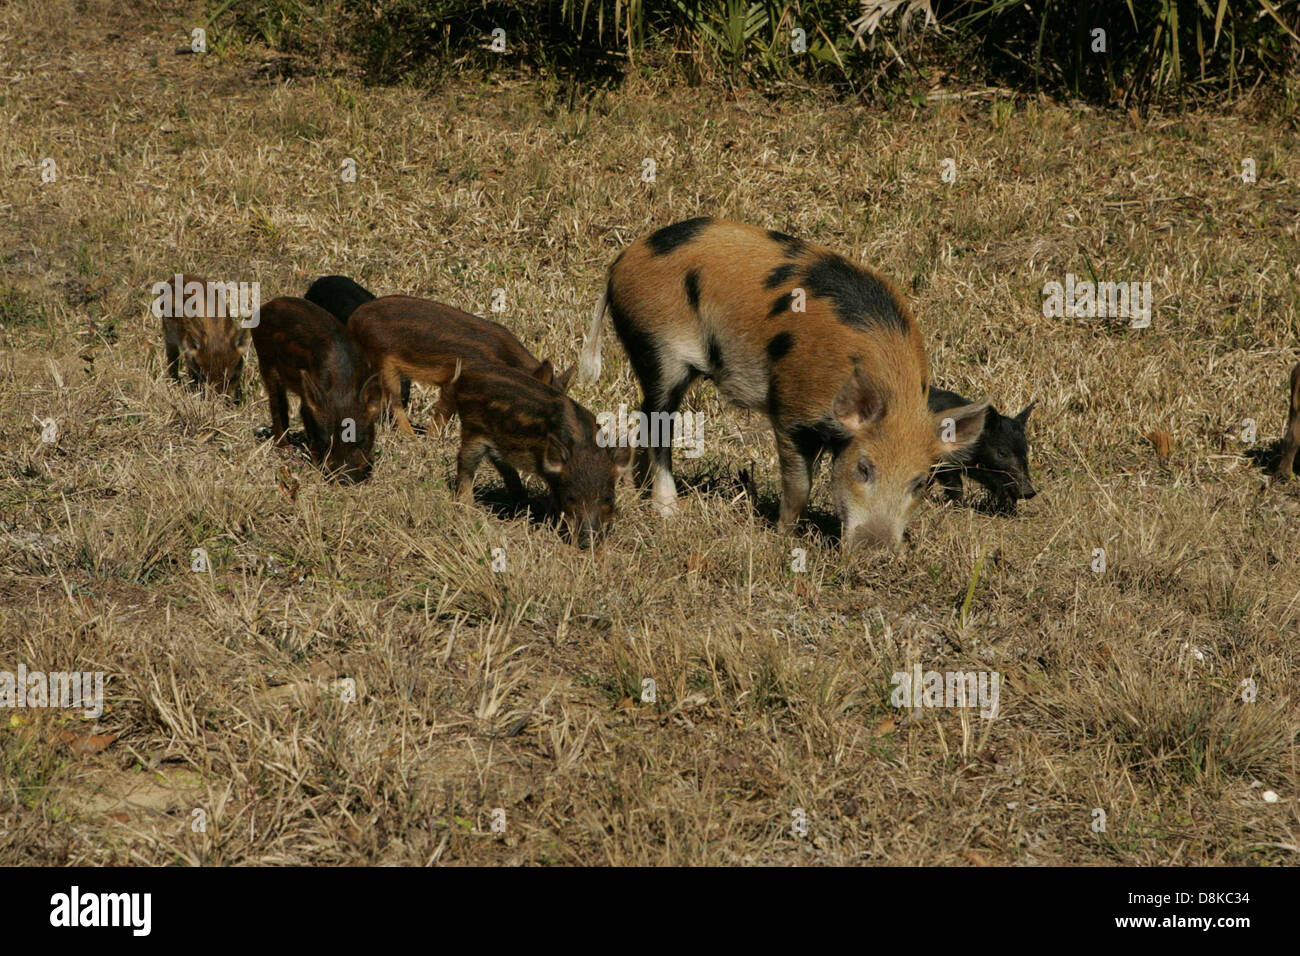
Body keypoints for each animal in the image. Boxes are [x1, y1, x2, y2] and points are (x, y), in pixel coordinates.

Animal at [251, 297, 382, 483]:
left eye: (361, 440)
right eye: (327, 442)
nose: (343, 479)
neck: (343, 389)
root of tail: (266, 306)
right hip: (266, 360)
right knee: (277, 403)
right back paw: (284, 448)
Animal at [348, 295, 573, 434]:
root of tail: (353, 319)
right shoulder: (454, 379)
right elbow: (444, 414)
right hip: (384, 364)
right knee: (393, 402)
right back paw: (410, 437)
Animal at [441, 360, 632, 547]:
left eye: (609, 498)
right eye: (570, 497)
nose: (587, 543)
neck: (584, 446)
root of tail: (464, 375)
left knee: (503, 466)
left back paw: (521, 502)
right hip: (473, 432)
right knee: (465, 465)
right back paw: (466, 509)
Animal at [579, 218, 988, 550]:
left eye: (919, 483)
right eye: (863, 468)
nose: (876, 552)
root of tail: (623, 258)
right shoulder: (792, 409)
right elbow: (799, 485)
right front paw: (785, 537)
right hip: (656, 347)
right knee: (657, 421)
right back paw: (669, 513)